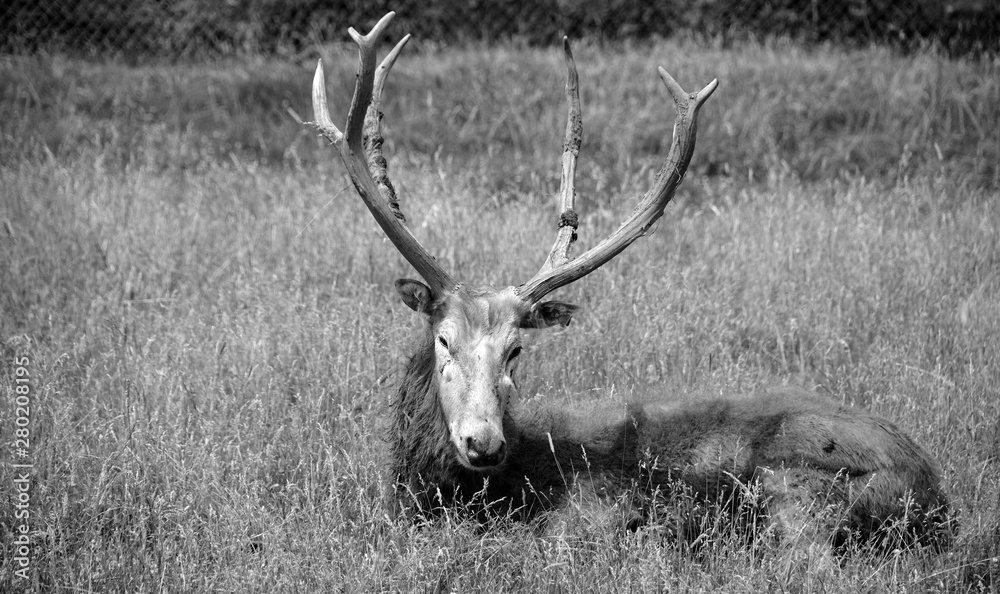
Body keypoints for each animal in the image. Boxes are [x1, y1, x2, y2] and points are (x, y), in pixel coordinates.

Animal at [309, 12, 952, 554]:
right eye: (444, 338)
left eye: (516, 350)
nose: (482, 443)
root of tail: (937, 495)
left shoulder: (588, 516)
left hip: (798, 491)